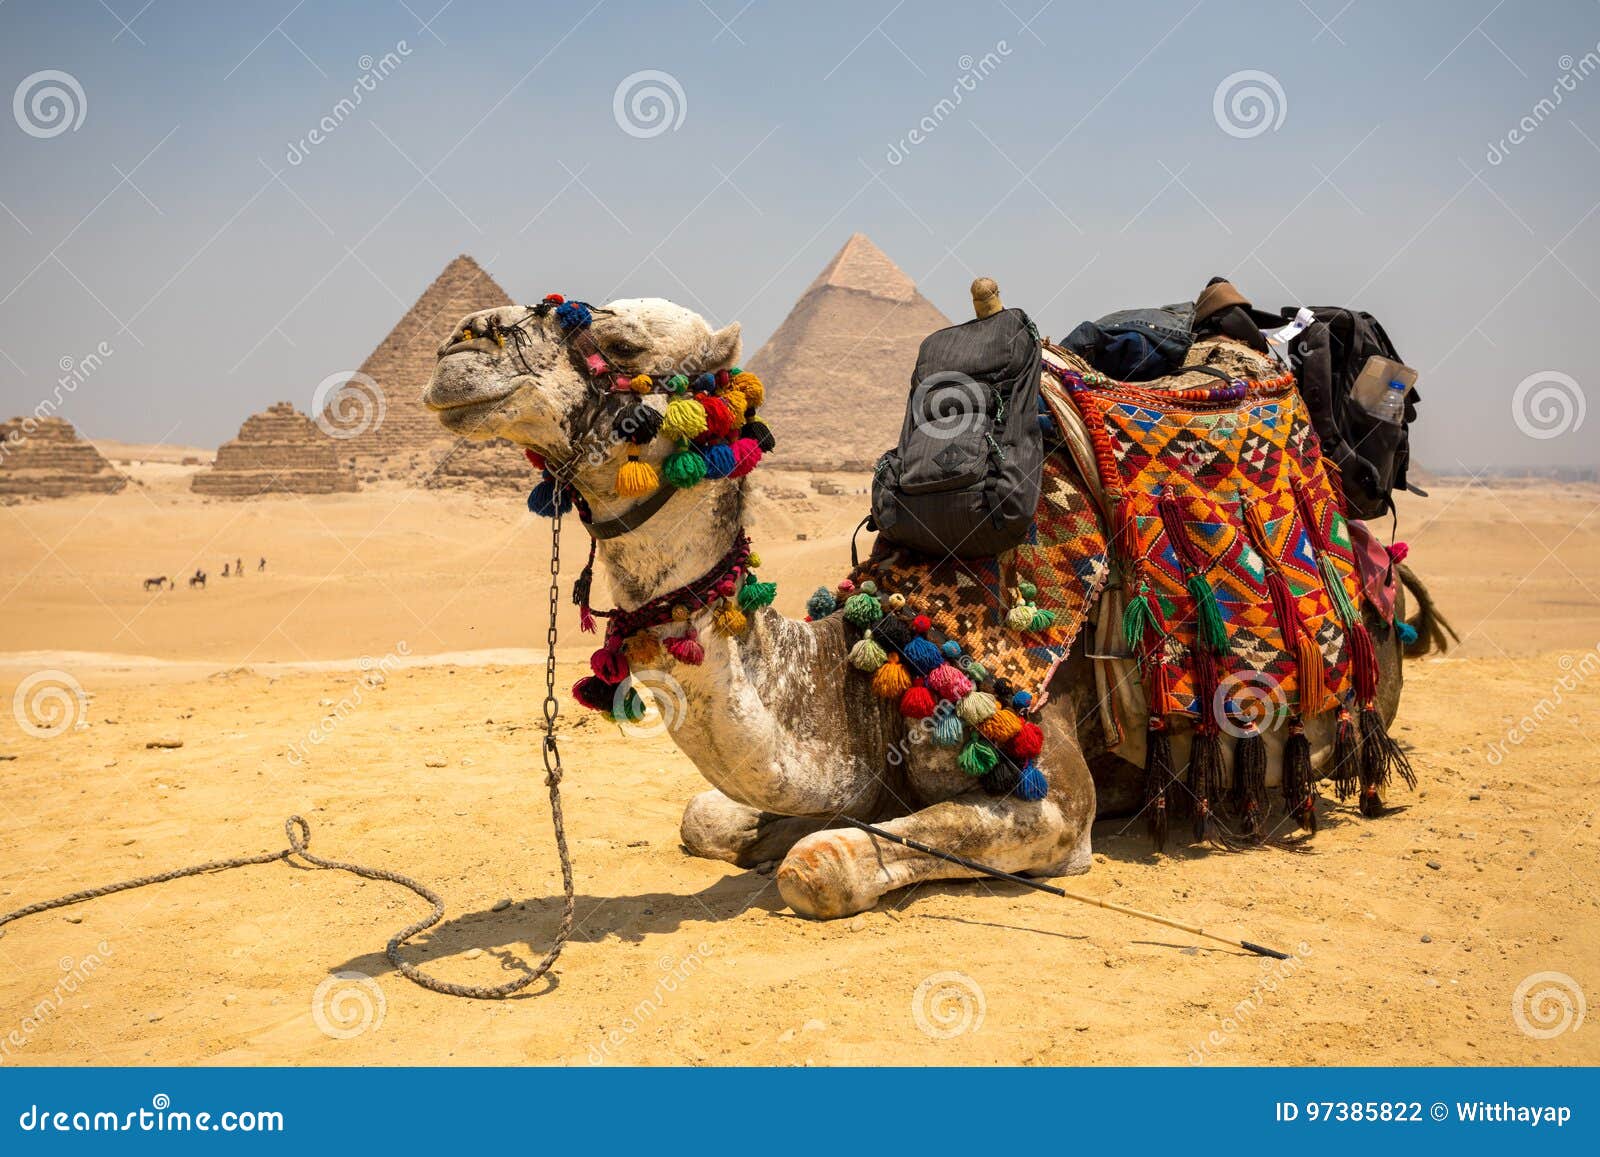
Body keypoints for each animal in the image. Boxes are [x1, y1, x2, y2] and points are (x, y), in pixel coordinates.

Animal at [424, 291, 1438, 919]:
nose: (460, 342)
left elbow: (819, 863)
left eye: (624, 343)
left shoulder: (1053, 795)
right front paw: (756, 827)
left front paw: (803, 849)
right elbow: (709, 817)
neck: (862, 677)